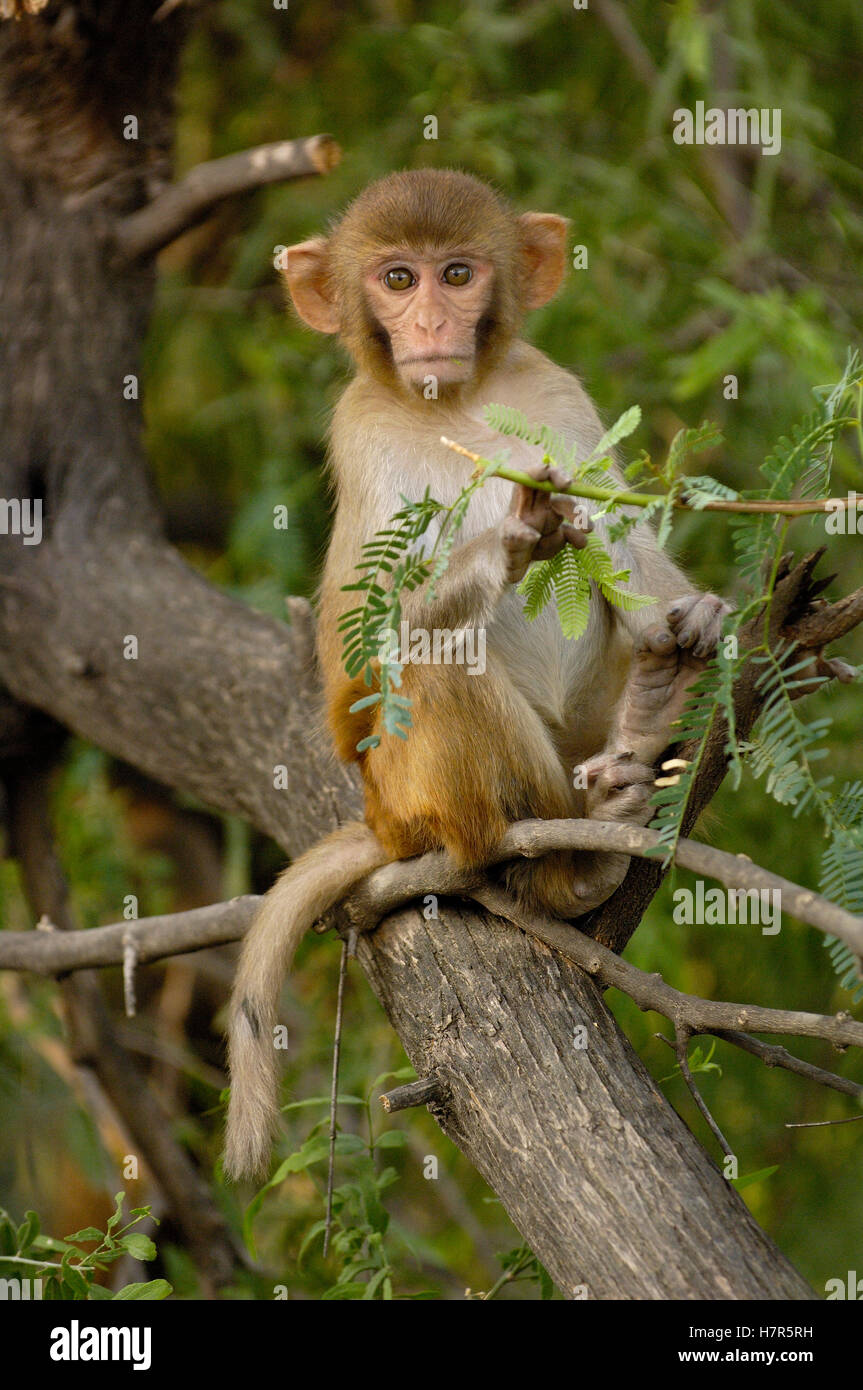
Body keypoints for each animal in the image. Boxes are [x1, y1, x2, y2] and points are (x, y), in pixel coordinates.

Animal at [224, 169, 730, 1181]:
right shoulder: (361, 432)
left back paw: (642, 724)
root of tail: (381, 820)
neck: (452, 405)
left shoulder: (557, 394)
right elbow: (360, 662)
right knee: (429, 669)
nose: (428, 322)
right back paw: (562, 871)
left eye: (456, 273)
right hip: (413, 794)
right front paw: (509, 533)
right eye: (395, 277)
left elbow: (623, 542)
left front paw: (687, 617)